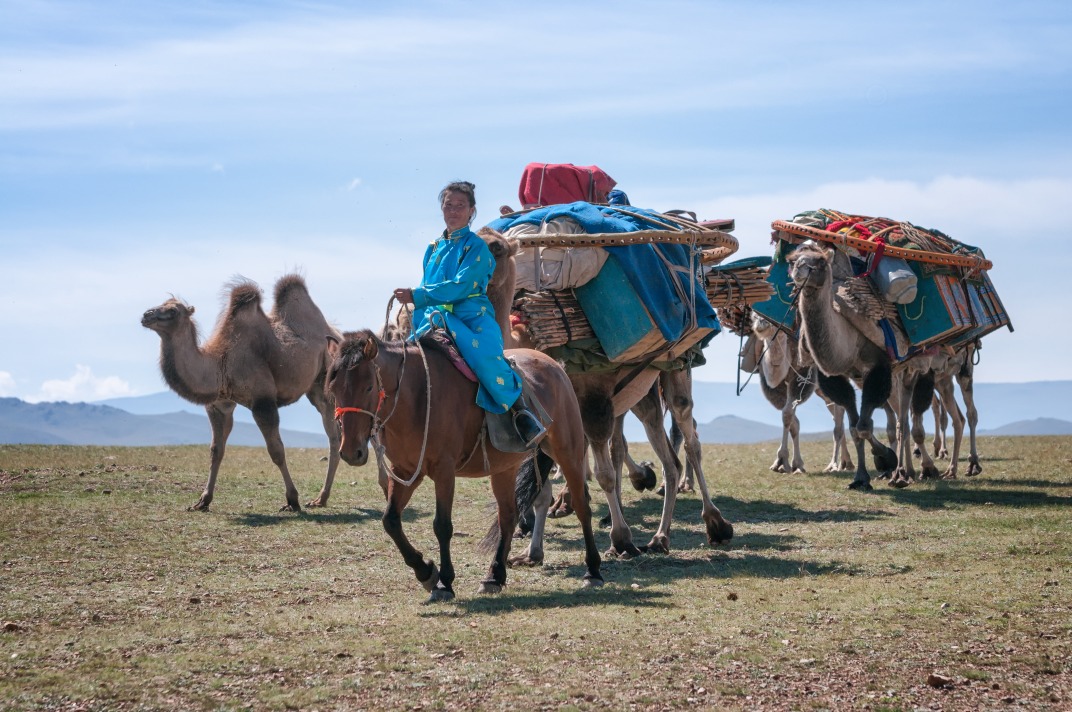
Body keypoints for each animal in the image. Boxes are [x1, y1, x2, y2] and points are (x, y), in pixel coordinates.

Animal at [139, 273, 338, 512]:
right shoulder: (219, 405)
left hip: (328, 378)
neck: (220, 363)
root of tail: (334, 332)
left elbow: (276, 451)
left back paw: (321, 497)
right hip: (314, 388)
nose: (146, 315)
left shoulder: (263, 401)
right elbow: (216, 451)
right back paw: (321, 498)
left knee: (333, 435)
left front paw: (292, 500)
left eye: (173, 311)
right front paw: (202, 501)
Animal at [323, 330, 604, 600]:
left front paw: (444, 582)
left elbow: (442, 526)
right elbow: (390, 521)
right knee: (508, 516)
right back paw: (494, 577)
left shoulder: (444, 471)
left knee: (582, 507)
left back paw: (593, 571)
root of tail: (555, 366)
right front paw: (426, 572)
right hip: (504, 468)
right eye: (334, 390)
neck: (418, 396)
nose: (351, 452)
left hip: (568, 453)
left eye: (369, 387)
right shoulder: (407, 471)